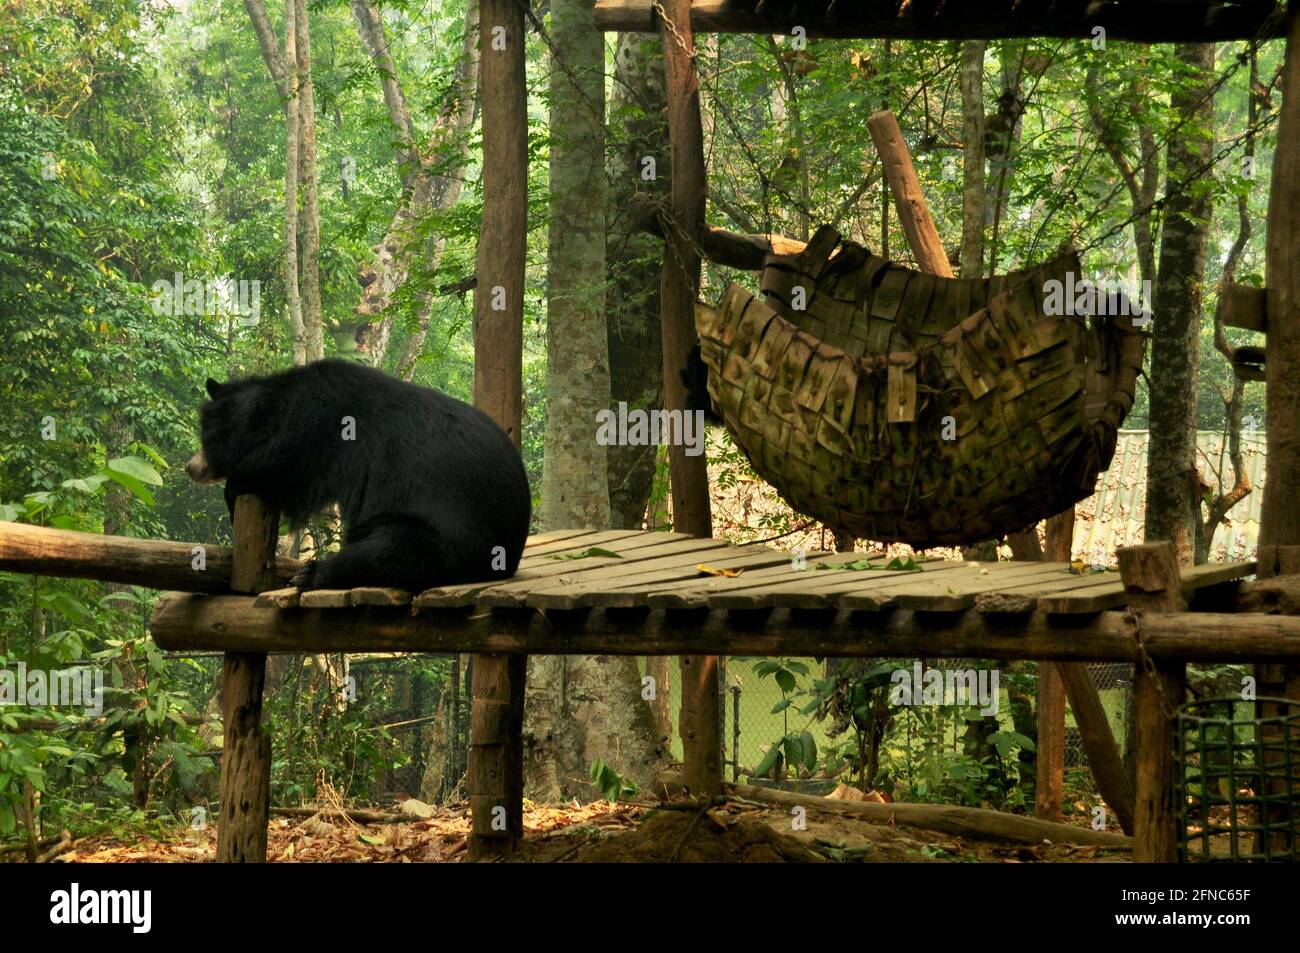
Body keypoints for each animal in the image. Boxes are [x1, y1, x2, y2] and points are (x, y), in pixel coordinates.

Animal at [185, 359, 531, 593]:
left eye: (206, 438)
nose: (191, 467)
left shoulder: (316, 430)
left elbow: (279, 474)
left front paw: (234, 494)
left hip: (444, 536)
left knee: (386, 550)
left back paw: (311, 574)